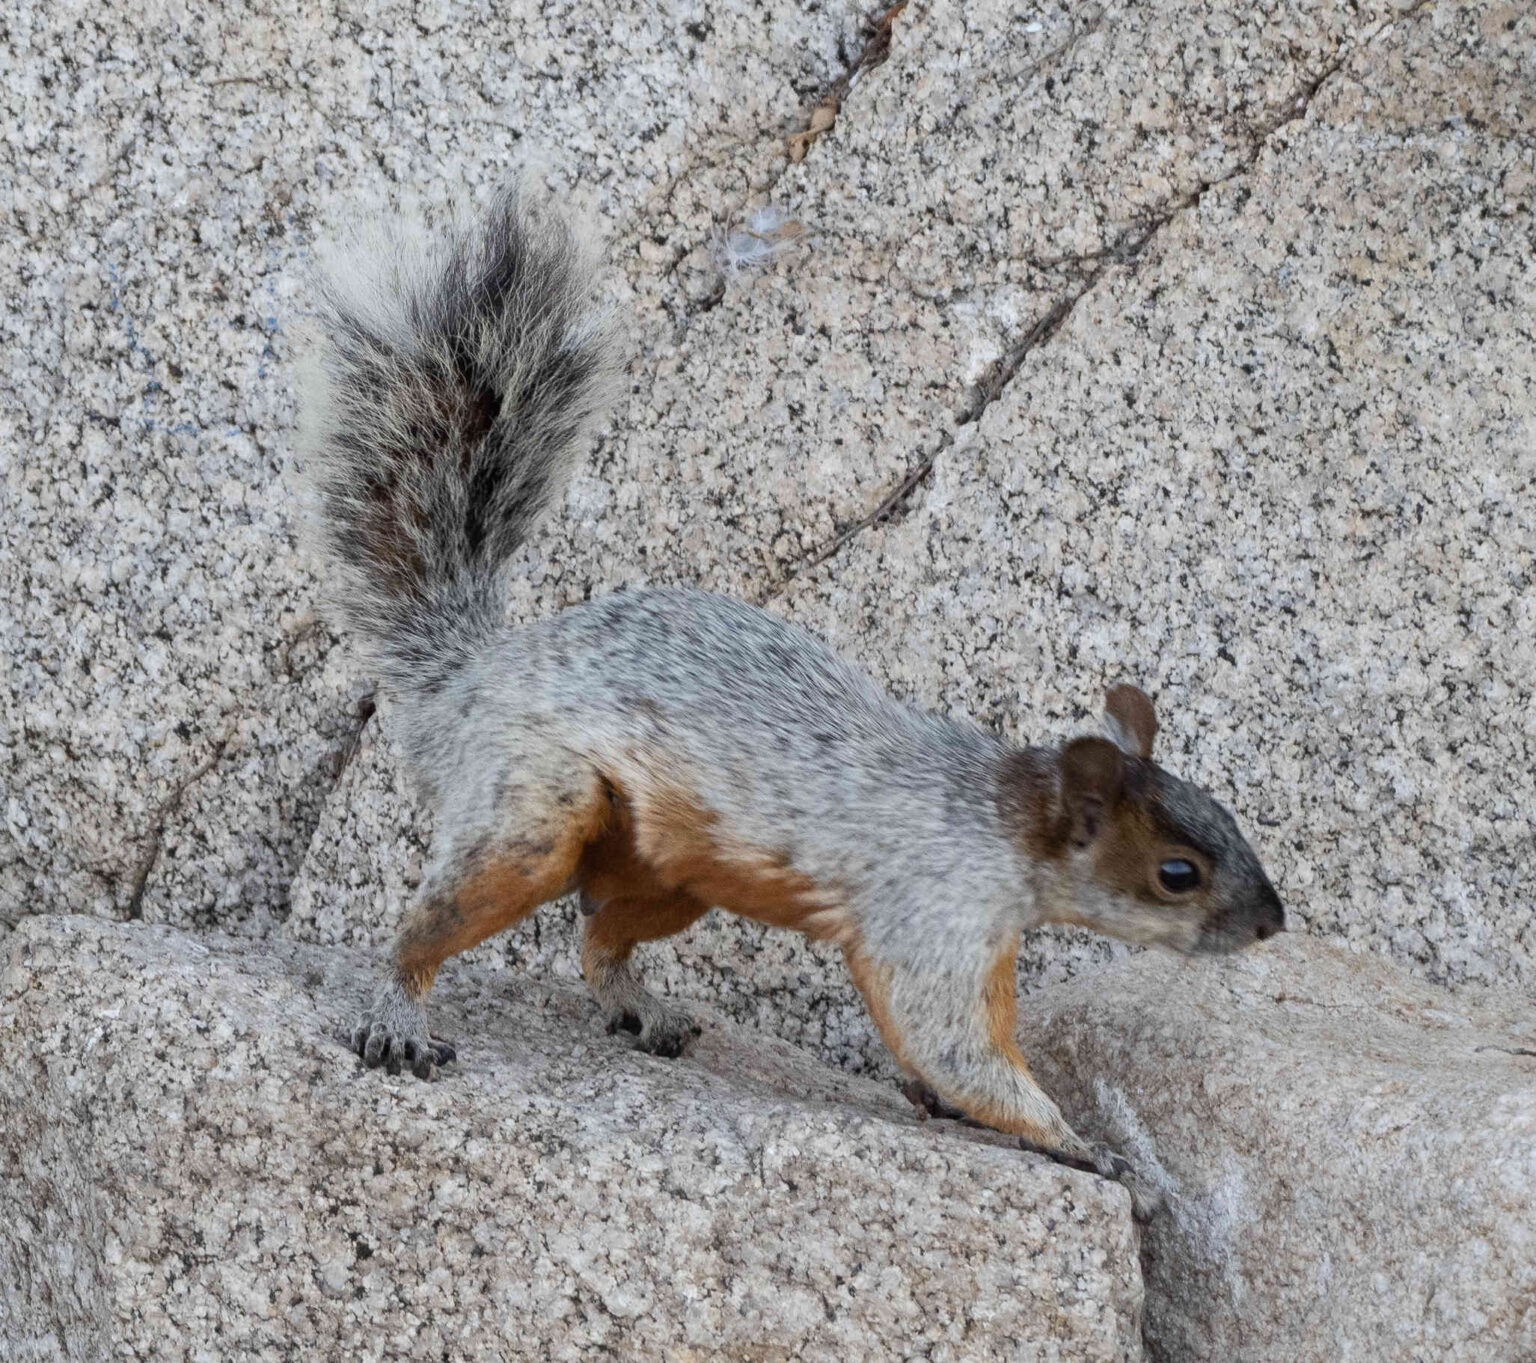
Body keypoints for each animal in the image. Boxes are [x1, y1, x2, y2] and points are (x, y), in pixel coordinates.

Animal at [297, 189, 1286, 1217]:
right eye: (1177, 872)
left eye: (1227, 817)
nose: (1272, 923)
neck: (1001, 818)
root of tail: (470, 680)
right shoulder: (933, 916)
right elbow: (954, 1046)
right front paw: (1090, 1149)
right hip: (534, 806)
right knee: (447, 921)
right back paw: (399, 1012)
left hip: (672, 874)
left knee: (599, 936)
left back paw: (643, 1008)